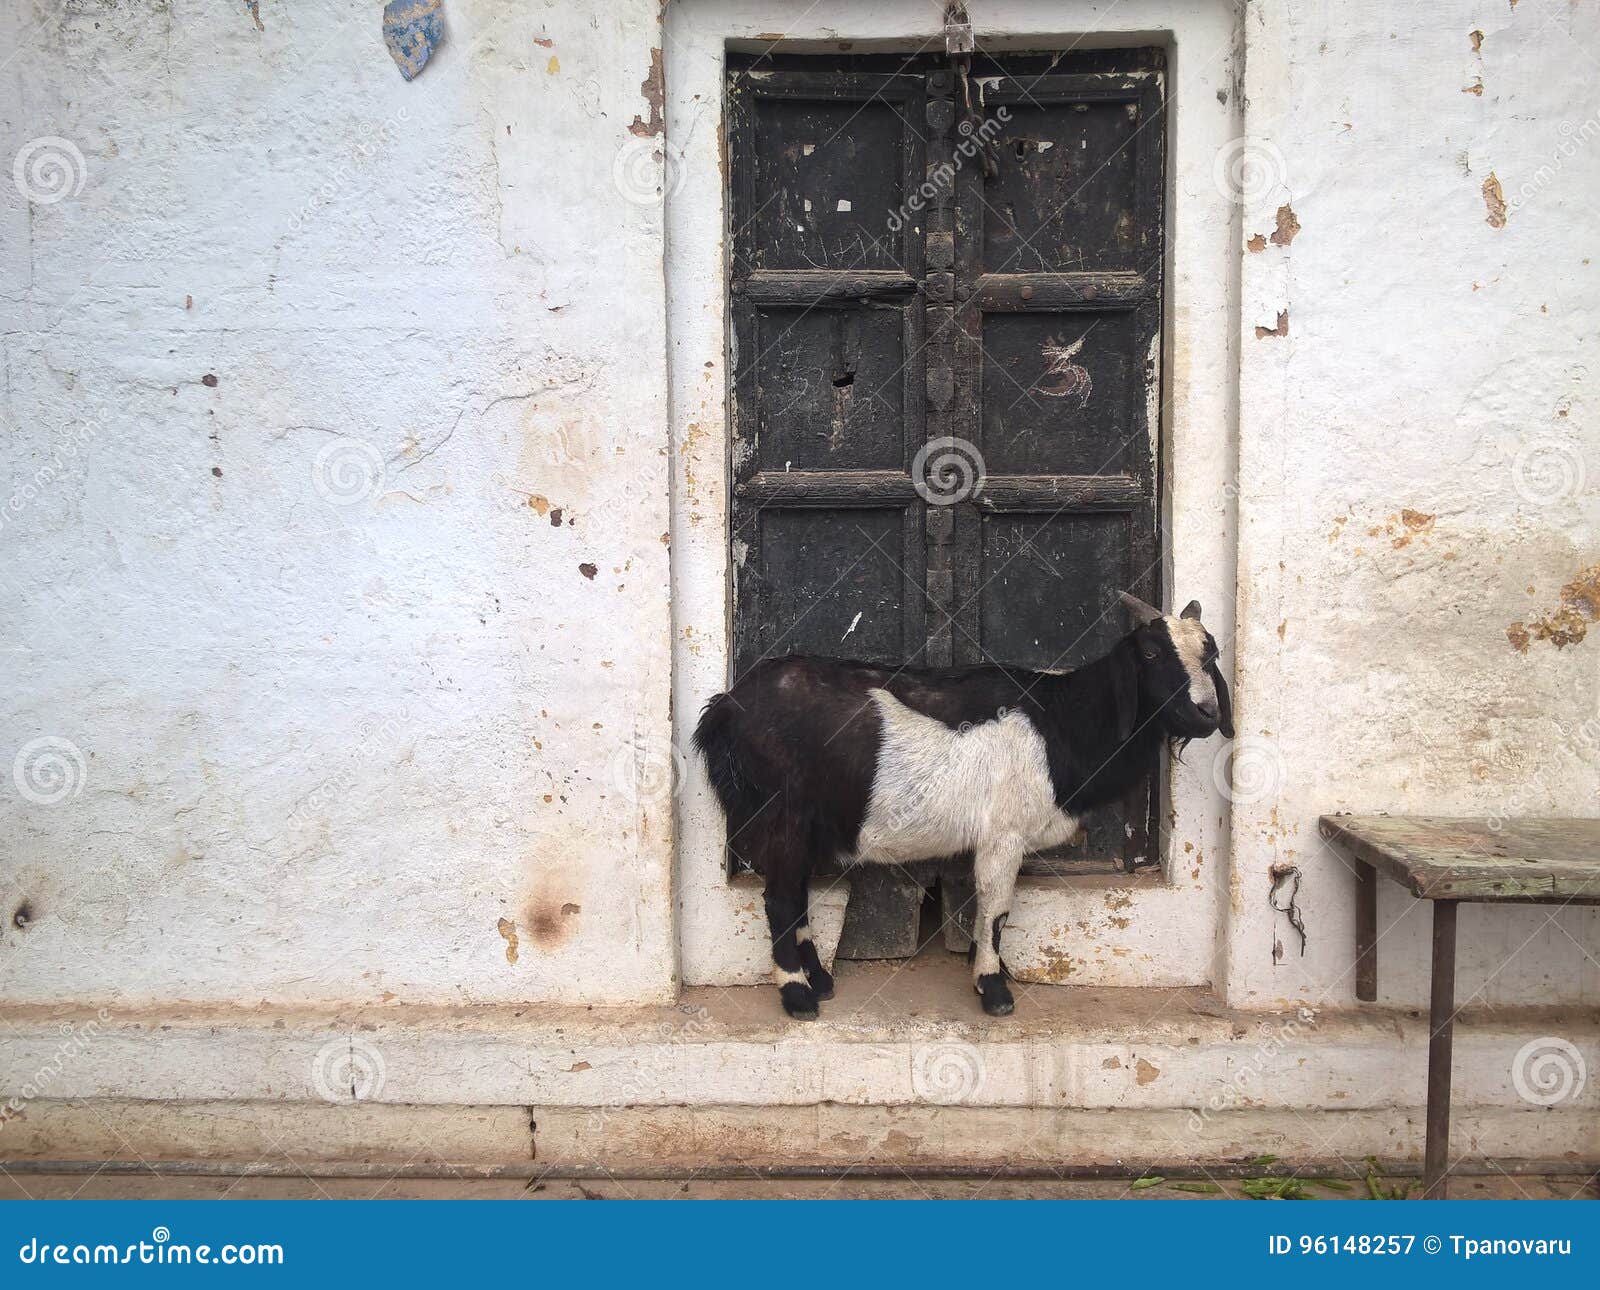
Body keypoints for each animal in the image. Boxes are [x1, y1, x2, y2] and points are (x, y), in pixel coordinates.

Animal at [693, 592, 1234, 1019]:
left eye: (1211, 653)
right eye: (1151, 653)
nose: (1206, 713)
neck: (1060, 720)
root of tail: (726, 706)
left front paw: (984, 971)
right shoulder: (1004, 834)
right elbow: (996, 909)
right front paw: (993, 987)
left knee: (797, 894)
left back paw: (820, 981)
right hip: (781, 816)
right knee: (781, 898)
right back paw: (798, 996)